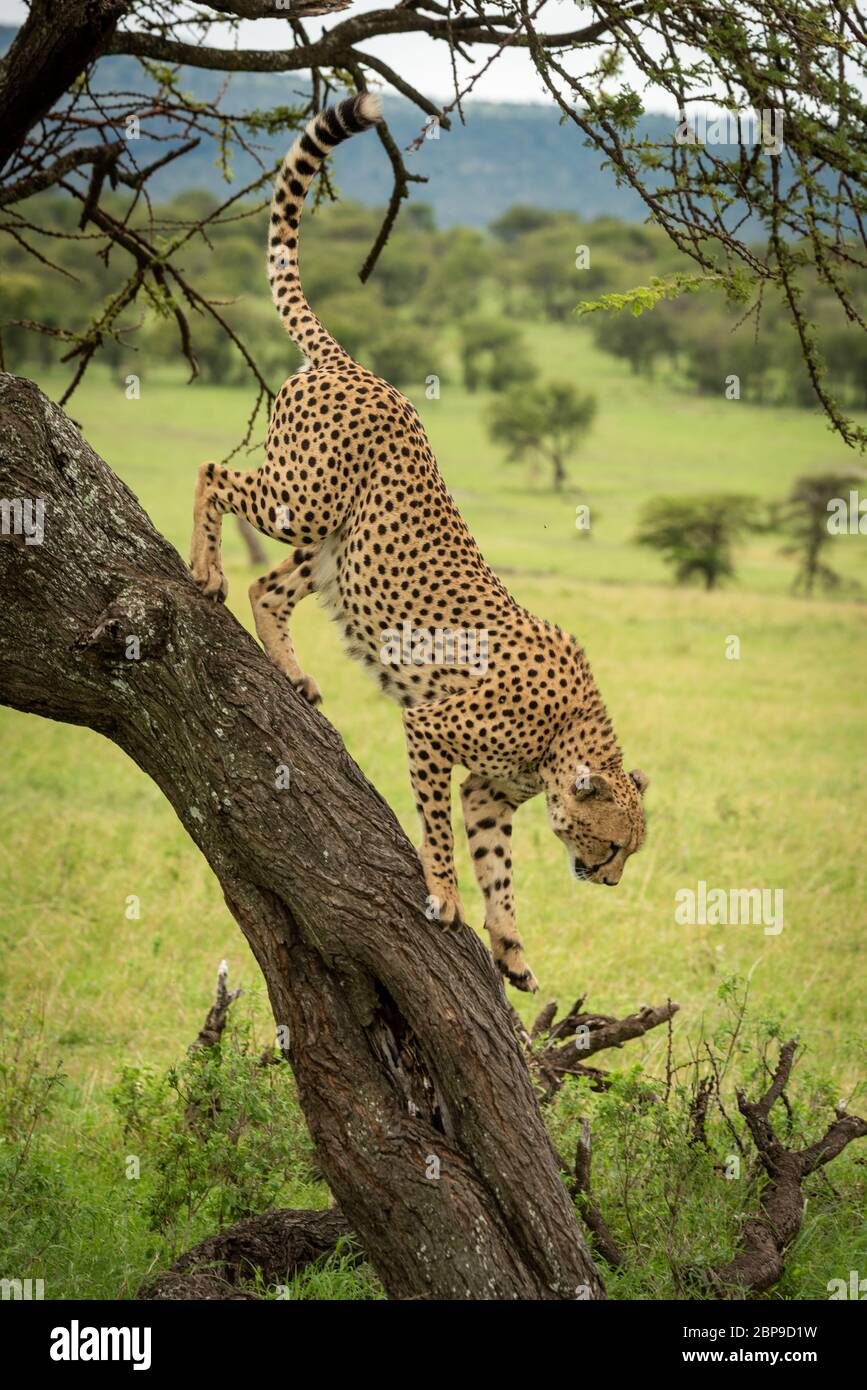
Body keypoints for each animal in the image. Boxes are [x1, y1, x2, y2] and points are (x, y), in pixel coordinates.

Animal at [189, 93, 650, 992]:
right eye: (613, 842)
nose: (609, 880)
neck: (563, 738)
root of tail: (357, 368)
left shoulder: (490, 793)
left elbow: (498, 863)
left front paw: (509, 947)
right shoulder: (432, 731)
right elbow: (439, 832)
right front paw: (441, 895)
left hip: (338, 544)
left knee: (272, 586)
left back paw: (291, 672)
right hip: (301, 499)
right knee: (211, 474)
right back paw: (203, 571)